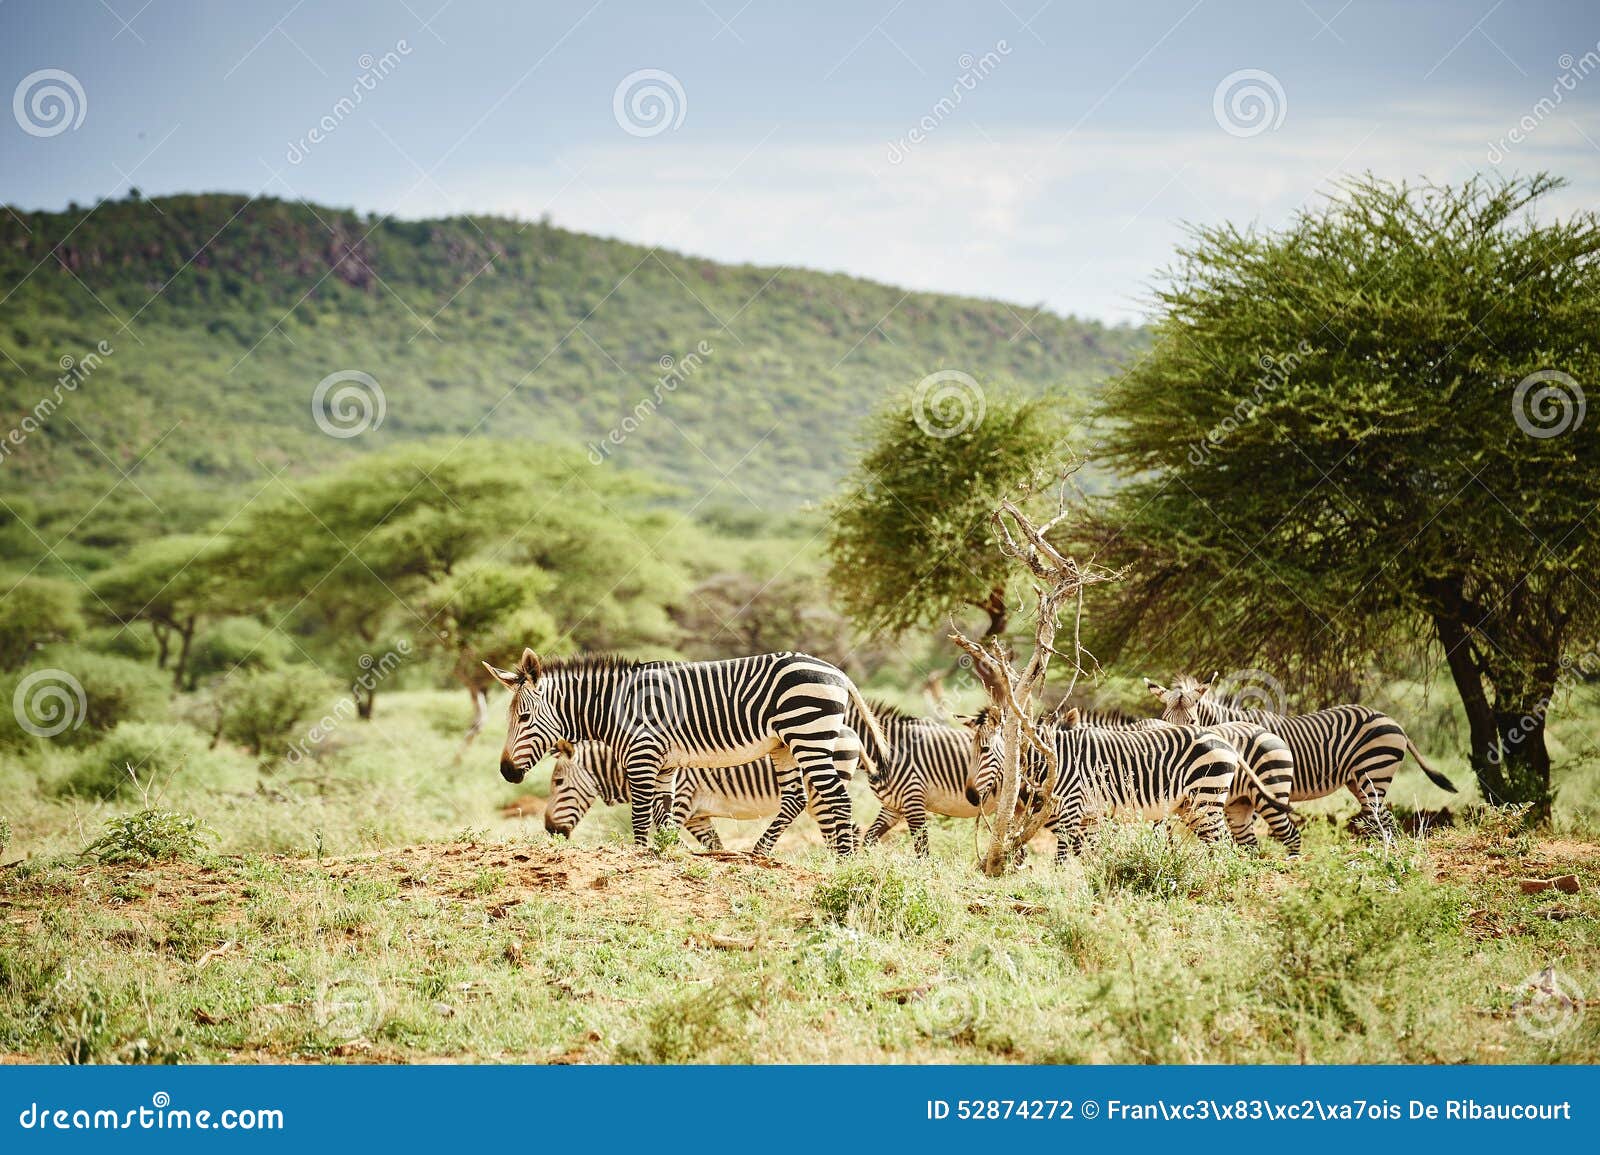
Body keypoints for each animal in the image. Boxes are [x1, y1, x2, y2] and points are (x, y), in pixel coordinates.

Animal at [486, 649, 888, 853]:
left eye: (523, 717)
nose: (505, 772)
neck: (614, 708)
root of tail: (836, 670)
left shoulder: (644, 757)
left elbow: (641, 819)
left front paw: (643, 858)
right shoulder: (667, 767)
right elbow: (663, 820)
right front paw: (669, 856)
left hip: (809, 735)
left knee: (837, 800)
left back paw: (843, 863)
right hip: (784, 746)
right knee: (794, 800)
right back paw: (757, 854)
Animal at [966, 706, 1253, 862]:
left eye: (984, 749)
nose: (970, 796)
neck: (1056, 758)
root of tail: (1223, 739)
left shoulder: (1072, 810)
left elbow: (1062, 858)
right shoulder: (1090, 816)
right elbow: (1089, 856)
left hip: (1206, 797)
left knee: (1222, 843)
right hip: (1190, 806)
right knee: (1218, 842)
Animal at [1151, 673, 1457, 838]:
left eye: (1192, 720)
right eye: (1165, 718)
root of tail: (1393, 721)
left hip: (1374, 772)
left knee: (1383, 818)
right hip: (1358, 781)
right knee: (1379, 818)